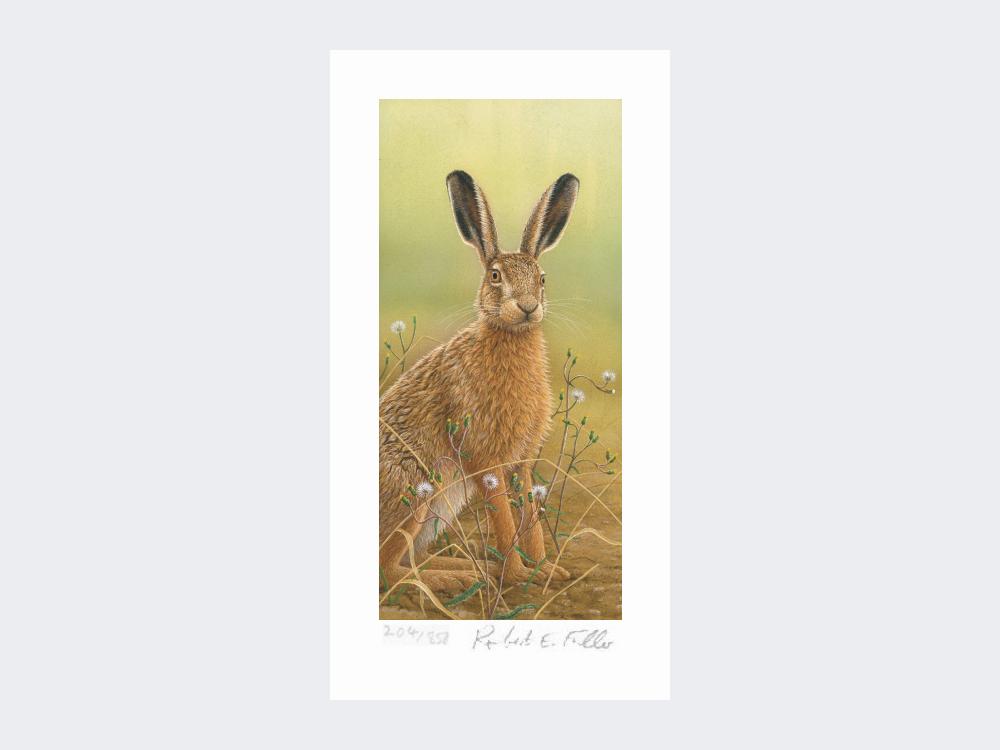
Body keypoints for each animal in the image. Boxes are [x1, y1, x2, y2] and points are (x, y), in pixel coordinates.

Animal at [379, 170, 579, 595]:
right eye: (495, 276)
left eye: (541, 278)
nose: (528, 307)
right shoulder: (484, 458)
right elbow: (503, 518)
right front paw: (519, 575)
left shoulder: (521, 462)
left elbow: (530, 519)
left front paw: (546, 570)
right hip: (415, 493)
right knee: (387, 570)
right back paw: (460, 576)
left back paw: (467, 568)